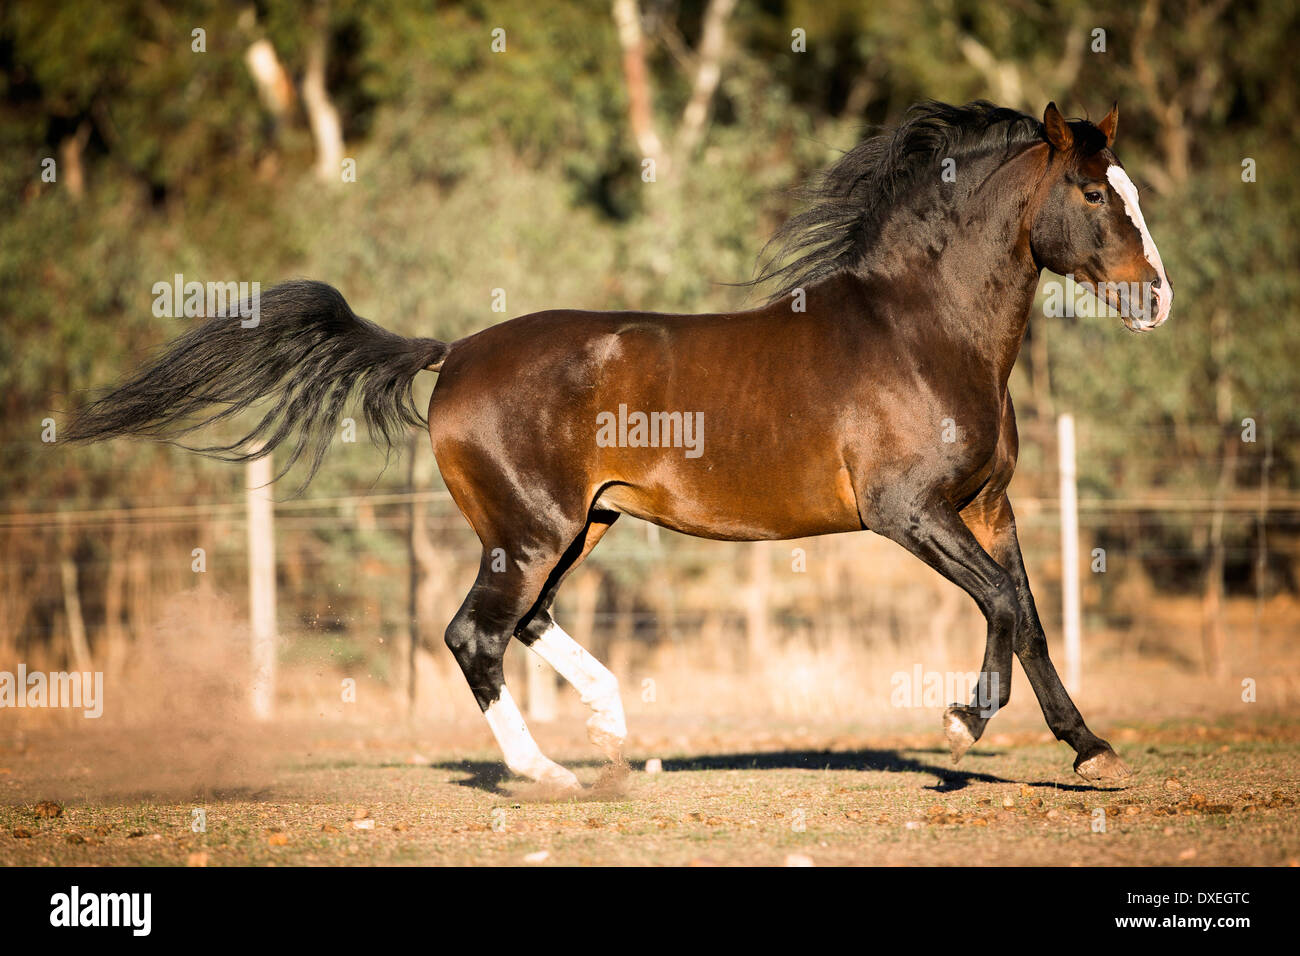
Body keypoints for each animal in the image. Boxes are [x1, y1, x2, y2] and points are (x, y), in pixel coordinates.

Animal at [66, 100, 1172, 791]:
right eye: (1094, 194)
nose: (1157, 298)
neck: (922, 331)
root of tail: (455, 353)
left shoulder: (988, 503)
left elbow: (1029, 617)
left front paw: (1090, 749)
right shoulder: (906, 512)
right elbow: (1001, 607)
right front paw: (961, 720)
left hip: (577, 525)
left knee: (526, 623)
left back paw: (609, 728)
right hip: (532, 528)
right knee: (474, 634)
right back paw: (552, 774)